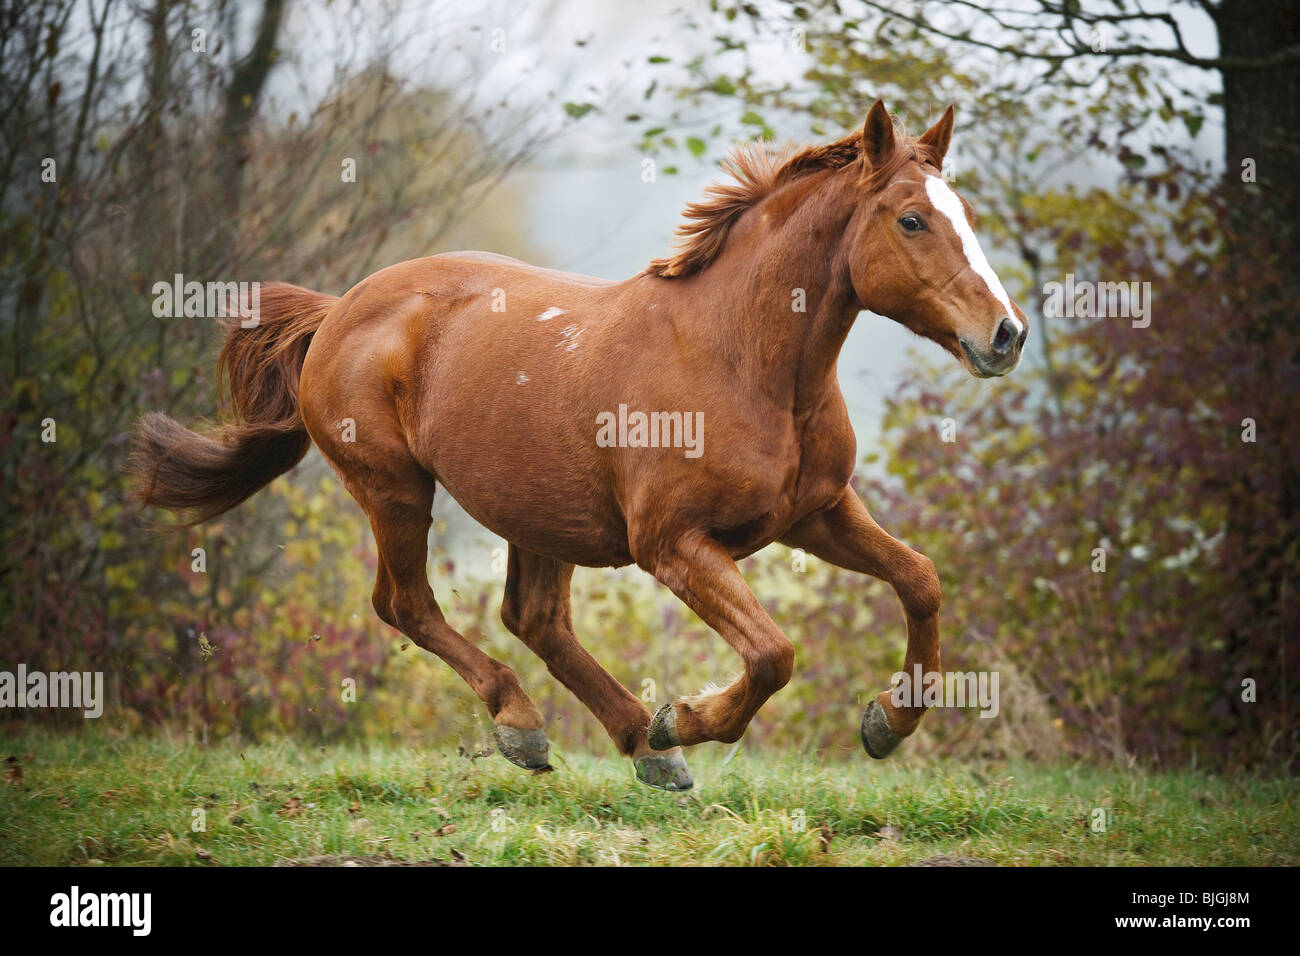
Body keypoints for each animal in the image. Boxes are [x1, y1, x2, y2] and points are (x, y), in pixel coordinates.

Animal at [130, 100, 1027, 790]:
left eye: (965, 218)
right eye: (911, 219)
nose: (1006, 335)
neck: (741, 359)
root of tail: (338, 309)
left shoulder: (817, 516)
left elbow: (921, 580)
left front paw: (886, 722)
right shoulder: (673, 544)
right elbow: (774, 654)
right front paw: (684, 717)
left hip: (539, 513)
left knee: (532, 618)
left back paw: (637, 746)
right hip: (394, 487)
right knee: (408, 604)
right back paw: (534, 726)